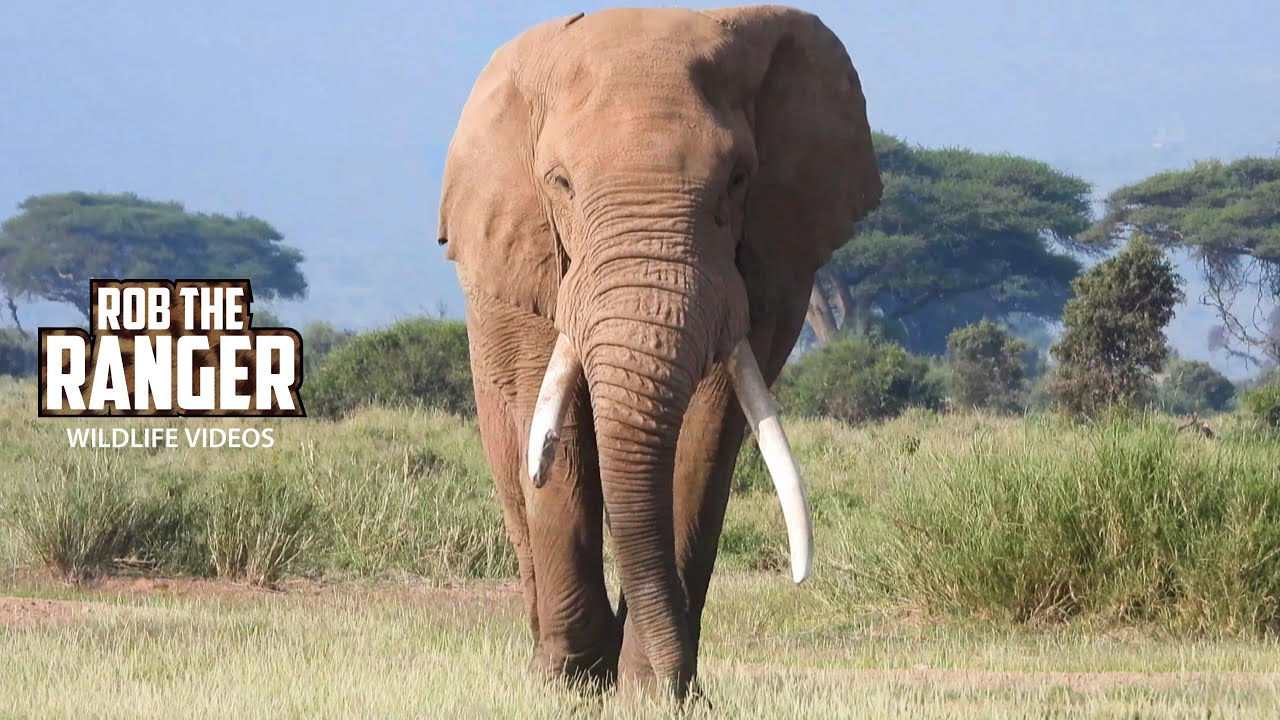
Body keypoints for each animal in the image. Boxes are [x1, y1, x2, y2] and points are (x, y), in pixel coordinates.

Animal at [437, 5, 881, 700]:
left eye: (738, 179)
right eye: (560, 183)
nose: (679, 684)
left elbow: (709, 429)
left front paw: (650, 688)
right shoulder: (533, 255)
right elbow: (554, 426)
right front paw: (573, 683)